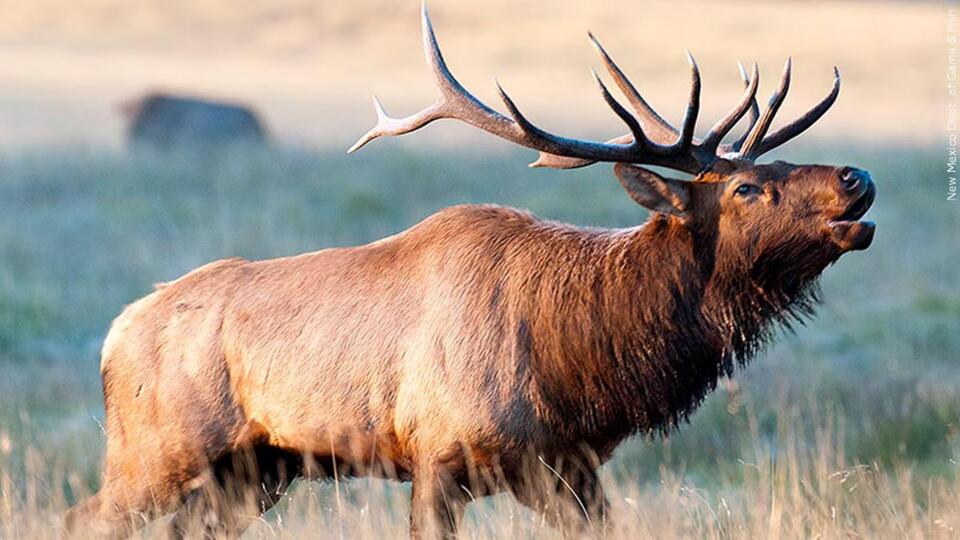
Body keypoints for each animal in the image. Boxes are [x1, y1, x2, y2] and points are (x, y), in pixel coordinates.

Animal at [65, 5, 876, 539]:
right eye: (745, 188)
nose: (857, 176)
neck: (581, 362)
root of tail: (112, 336)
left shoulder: (566, 468)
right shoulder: (438, 455)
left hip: (254, 470)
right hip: (154, 451)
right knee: (84, 518)